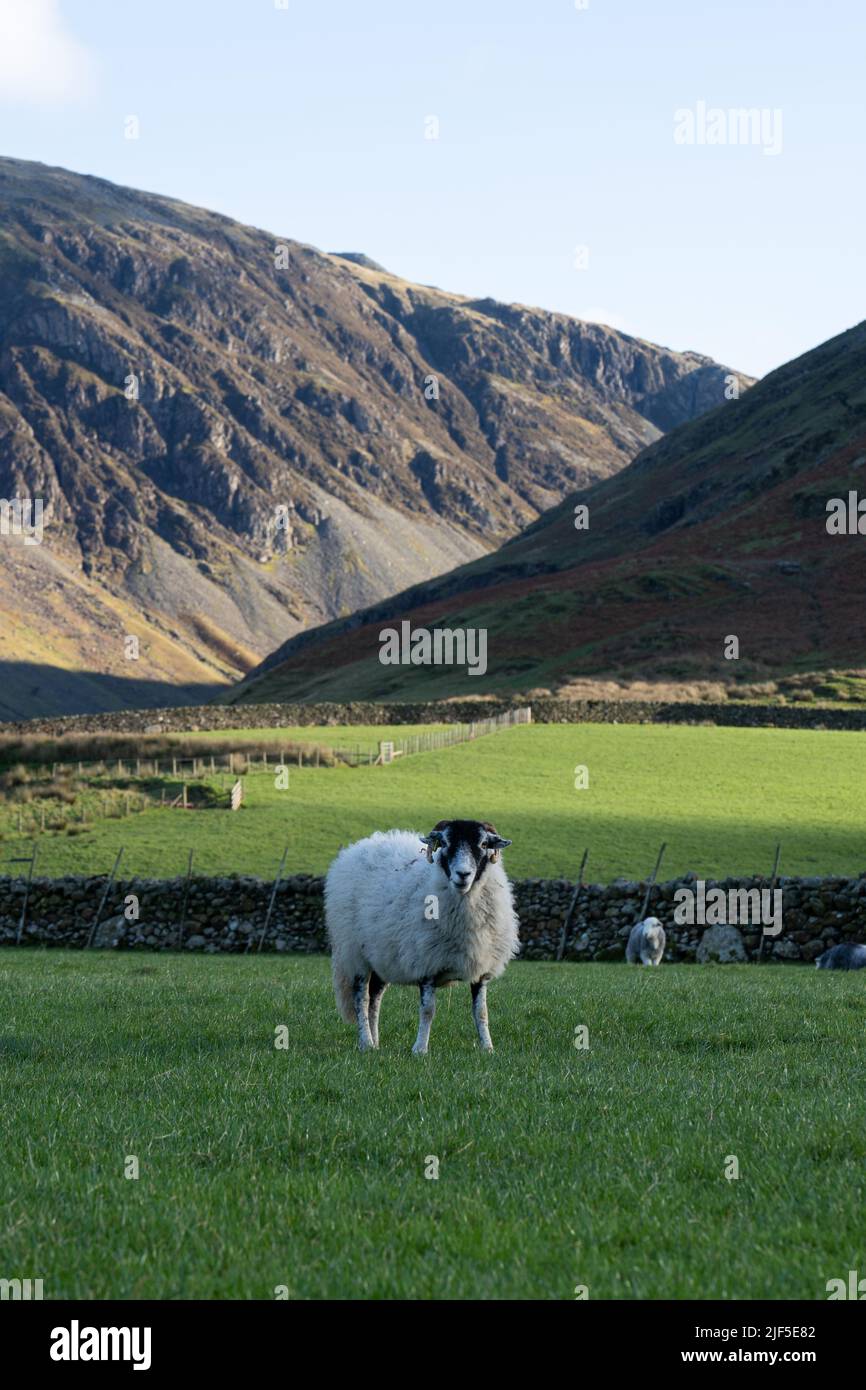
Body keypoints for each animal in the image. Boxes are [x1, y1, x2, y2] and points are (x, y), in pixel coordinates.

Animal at [325, 819, 519, 1053]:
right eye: (444, 843)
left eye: (483, 844)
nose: (462, 874)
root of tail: (357, 847)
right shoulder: (427, 963)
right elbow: (428, 1010)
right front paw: (420, 1050)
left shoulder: (481, 969)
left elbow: (481, 1012)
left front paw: (487, 1048)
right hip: (354, 954)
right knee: (361, 999)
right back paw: (366, 1043)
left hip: (380, 956)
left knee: (375, 999)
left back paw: (376, 1043)